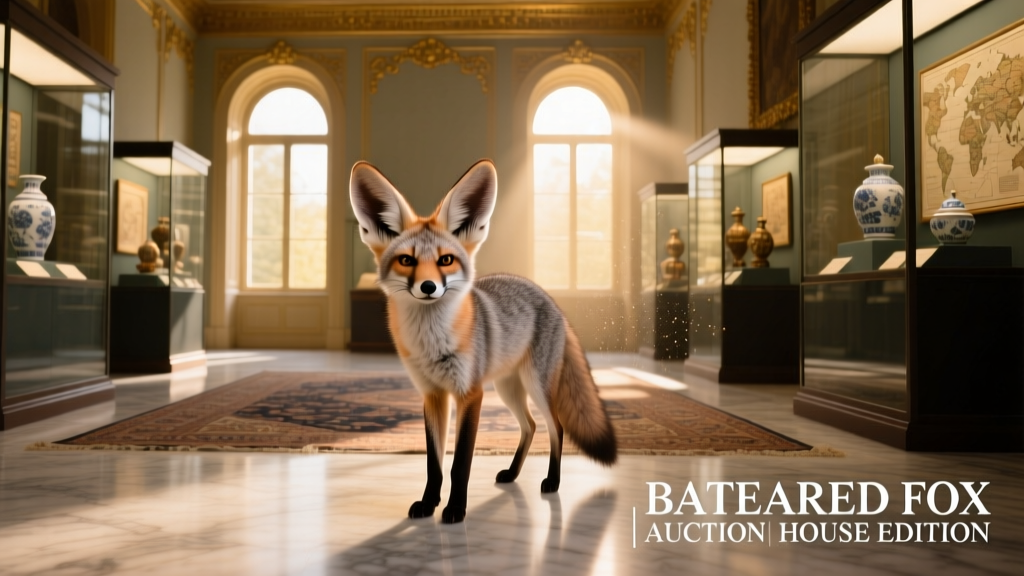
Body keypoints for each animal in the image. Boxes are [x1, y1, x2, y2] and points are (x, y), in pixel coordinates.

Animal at [349, 158, 617, 524]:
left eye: (445, 260)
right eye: (407, 261)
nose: (429, 287)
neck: (433, 343)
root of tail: (548, 296)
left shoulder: (469, 393)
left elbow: (460, 463)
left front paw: (455, 509)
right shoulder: (432, 395)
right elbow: (434, 464)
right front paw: (429, 504)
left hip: (535, 386)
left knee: (556, 428)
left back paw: (553, 482)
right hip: (507, 388)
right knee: (530, 426)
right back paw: (513, 474)